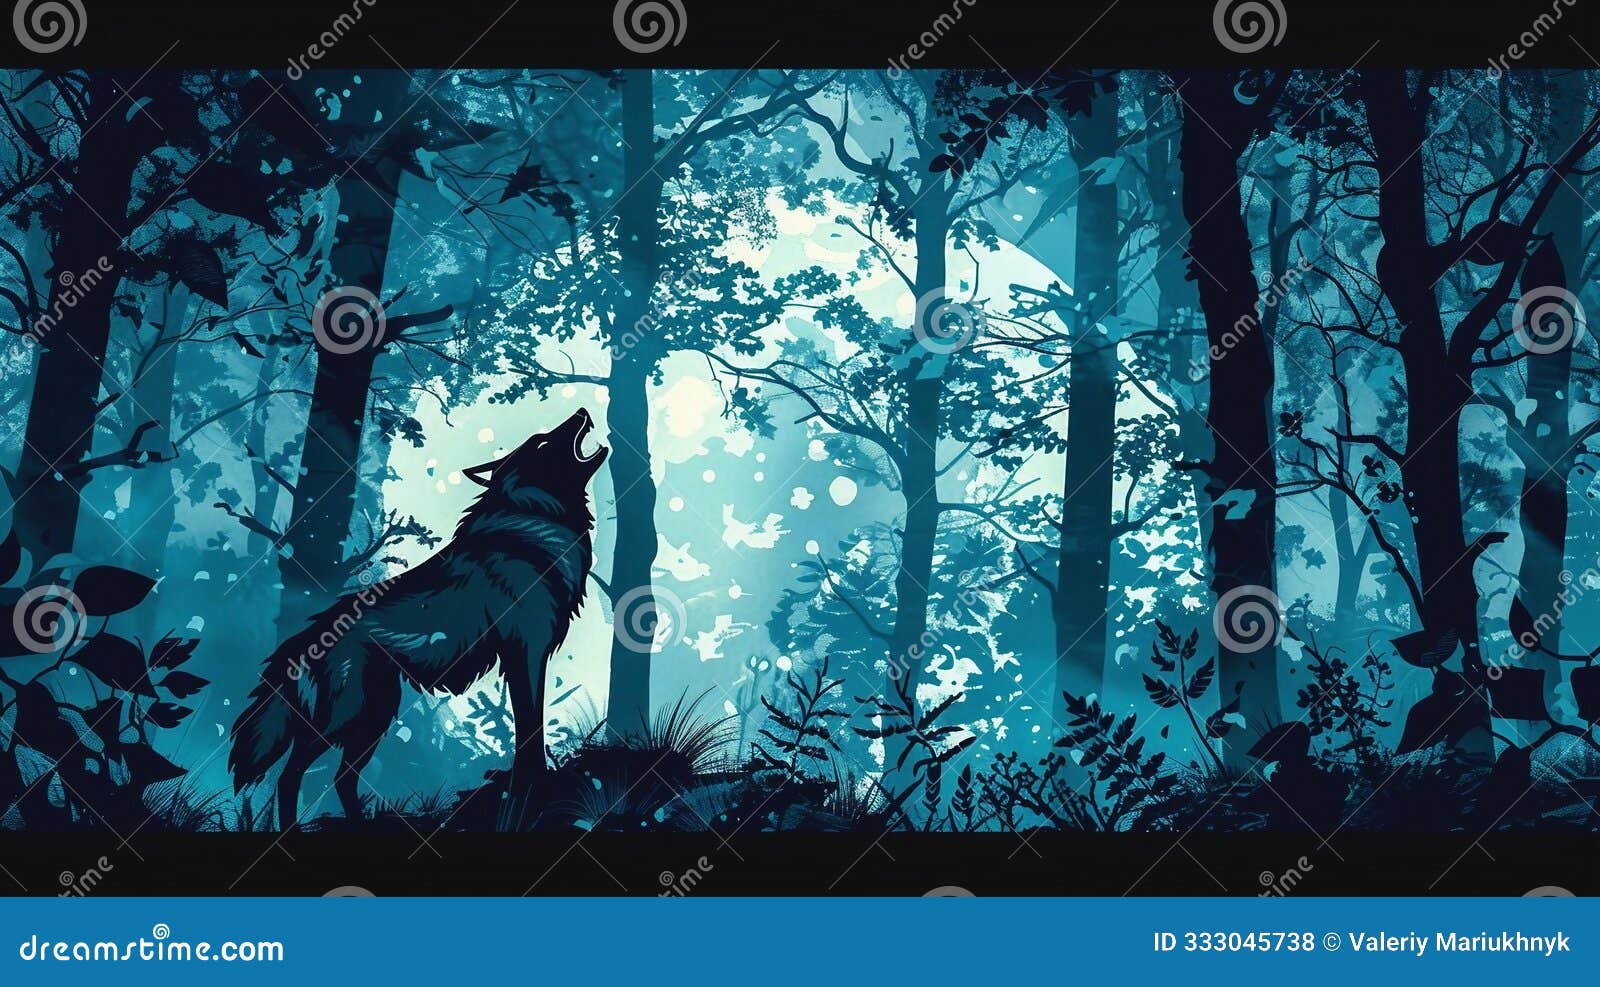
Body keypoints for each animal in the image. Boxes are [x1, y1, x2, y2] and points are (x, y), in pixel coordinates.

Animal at [228, 408, 608, 827]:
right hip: (348, 716)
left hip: (373, 716)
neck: (532, 521)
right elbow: (529, 726)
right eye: (541, 442)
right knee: (291, 774)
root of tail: (309, 632)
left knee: (341, 777)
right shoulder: (525, 651)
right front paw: (532, 784)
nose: (582, 411)